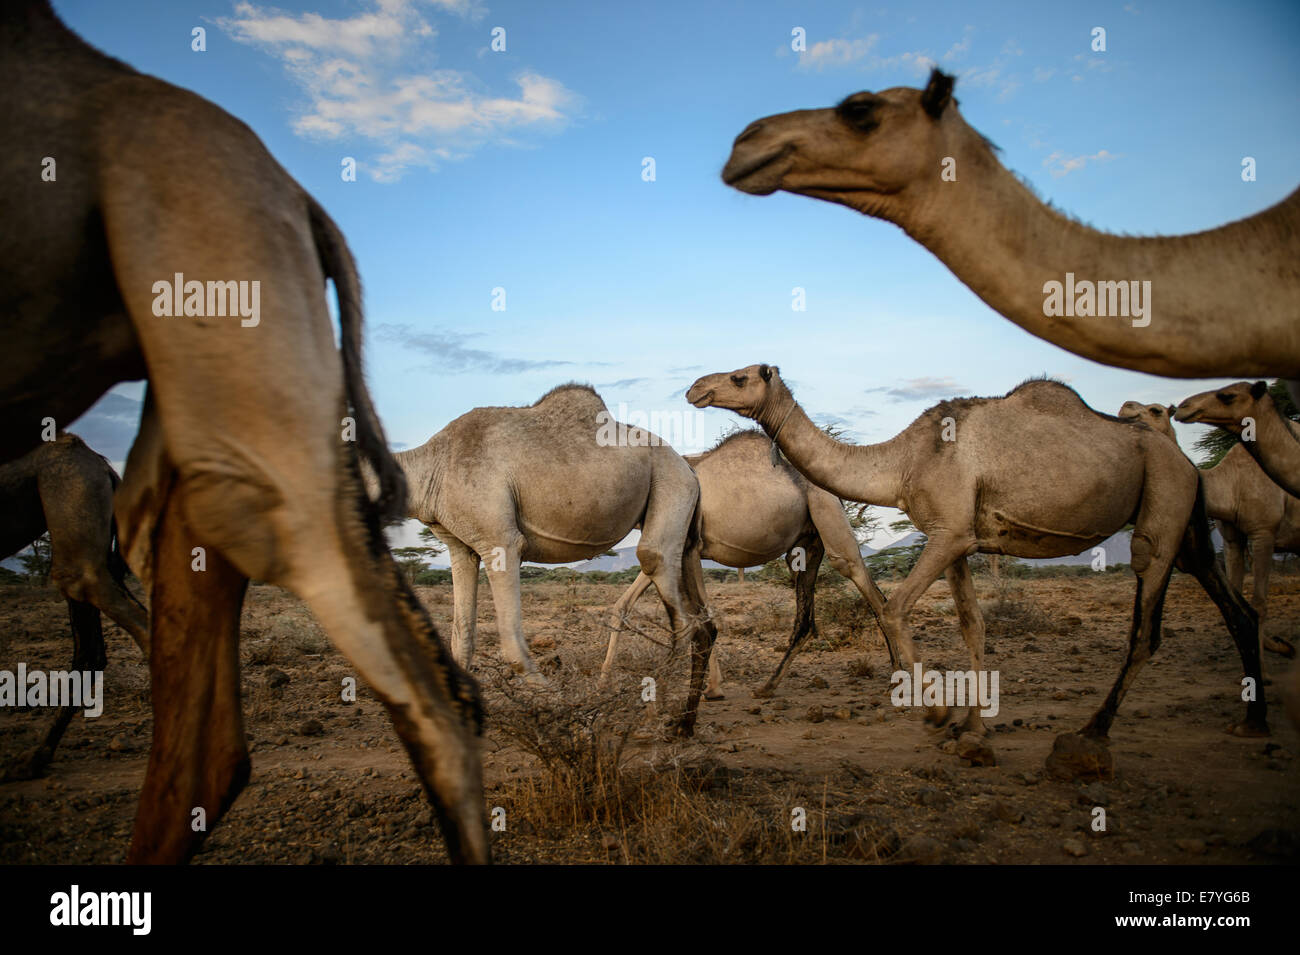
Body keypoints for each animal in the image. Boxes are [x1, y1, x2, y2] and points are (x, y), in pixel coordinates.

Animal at [379, 384, 720, 735]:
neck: (430, 467)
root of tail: (689, 468)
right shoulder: (461, 546)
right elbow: (461, 639)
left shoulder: (499, 540)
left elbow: (513, 646)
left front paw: (581, 723)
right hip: (684, 523)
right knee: (703, 622)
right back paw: (684, 724)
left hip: (670, 486)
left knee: (672, 599)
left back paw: (652, 716)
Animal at [600, 429, 889, 697]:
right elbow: (623, 604)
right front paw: (605, 680)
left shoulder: (689, 548)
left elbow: (705, 612)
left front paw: (713, 687)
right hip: (809, 542)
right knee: (807, 614)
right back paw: (768, 686)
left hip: (828, 512)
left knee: (865, 583)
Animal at [687, 364, 1268, 777]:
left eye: (740, 376)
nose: (695, 388)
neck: (902, 460)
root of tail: (1187, 462)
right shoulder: (961, 539)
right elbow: (973, 624)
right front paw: (972, 726)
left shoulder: (948, 535)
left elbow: (897, 607)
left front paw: (937, 713)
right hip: (1187, 524)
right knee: (1237, 610)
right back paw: (1252, 719)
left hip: (1160, 514)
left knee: (1146, 628)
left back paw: (1094, 732)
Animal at [1120, 400, 1299, 659]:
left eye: (1156, 410)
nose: (1126, 406)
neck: (1232, 486)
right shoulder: (1232, 538)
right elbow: (1238, 593)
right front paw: (1277, 646)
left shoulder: (1263, 532)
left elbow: (1259, 602)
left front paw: (1270, 656)